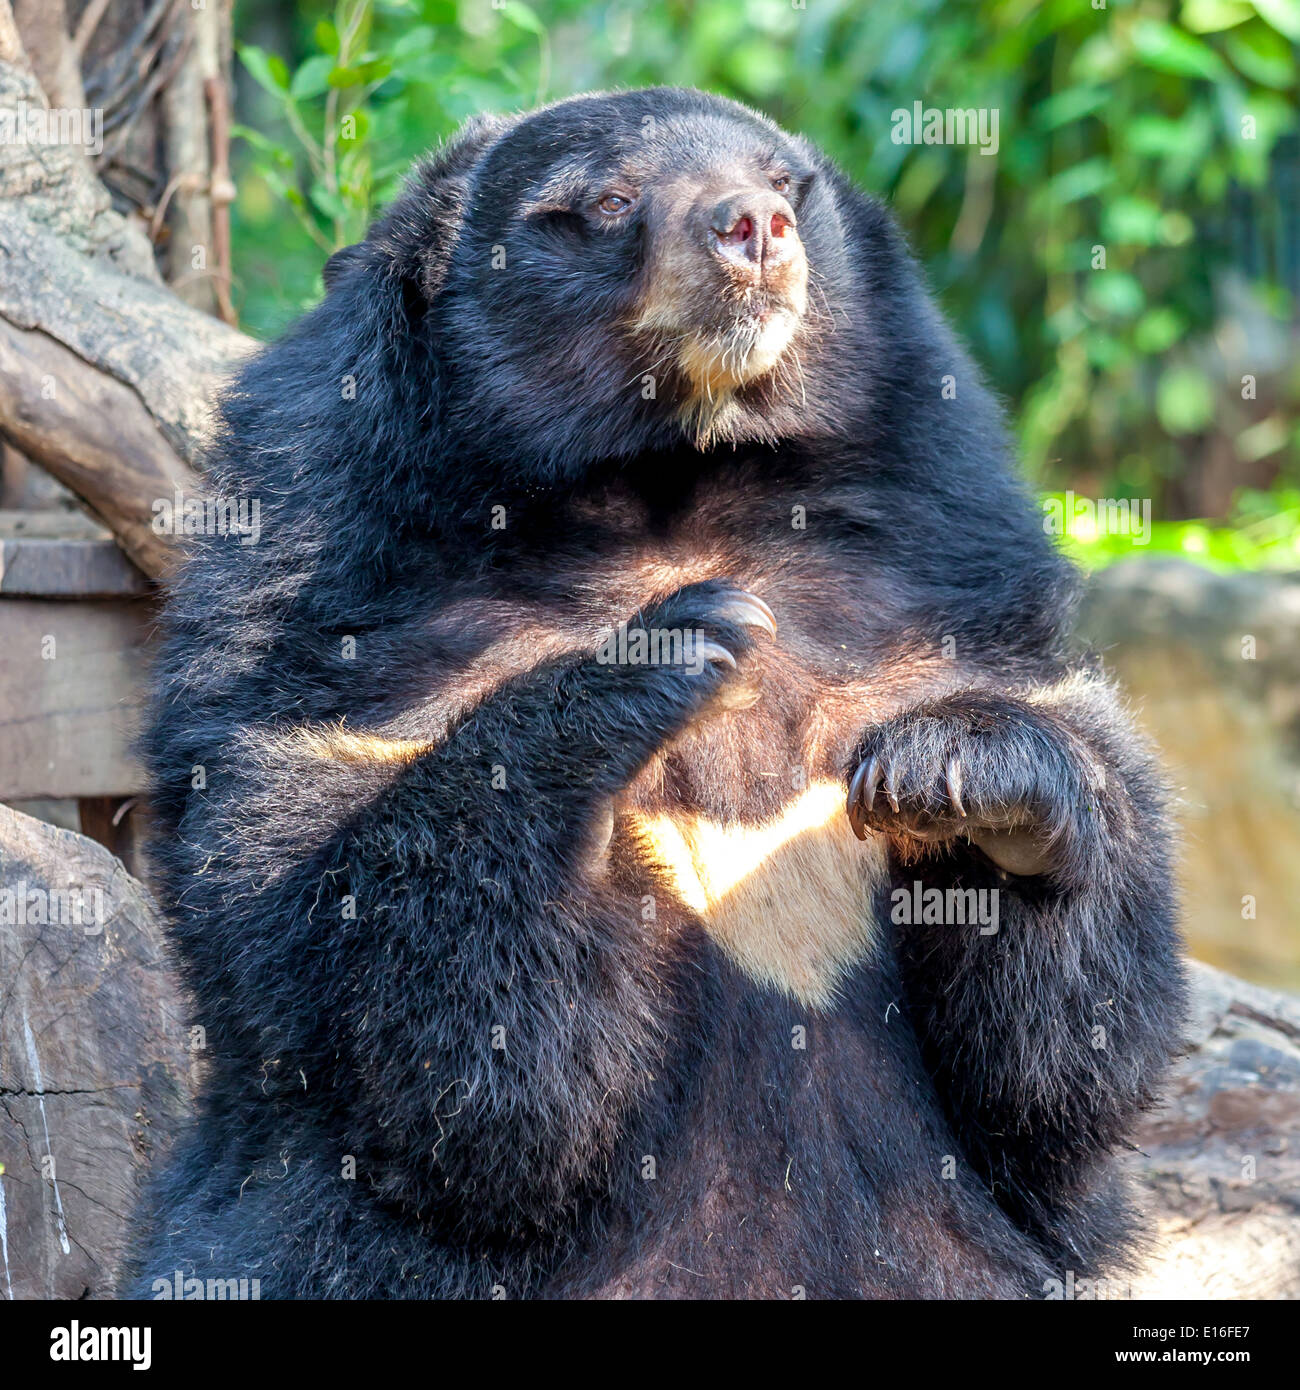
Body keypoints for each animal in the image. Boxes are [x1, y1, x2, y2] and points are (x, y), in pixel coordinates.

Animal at [128, 87, 1185, 1300]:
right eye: (606, 199)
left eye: (783, 179)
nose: (753, 227)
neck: (668, 484)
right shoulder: (336, 630)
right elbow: (418, 1032)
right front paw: (672, 648)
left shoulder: (944, 588)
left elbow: (1061, 1073)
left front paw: (960, 769)